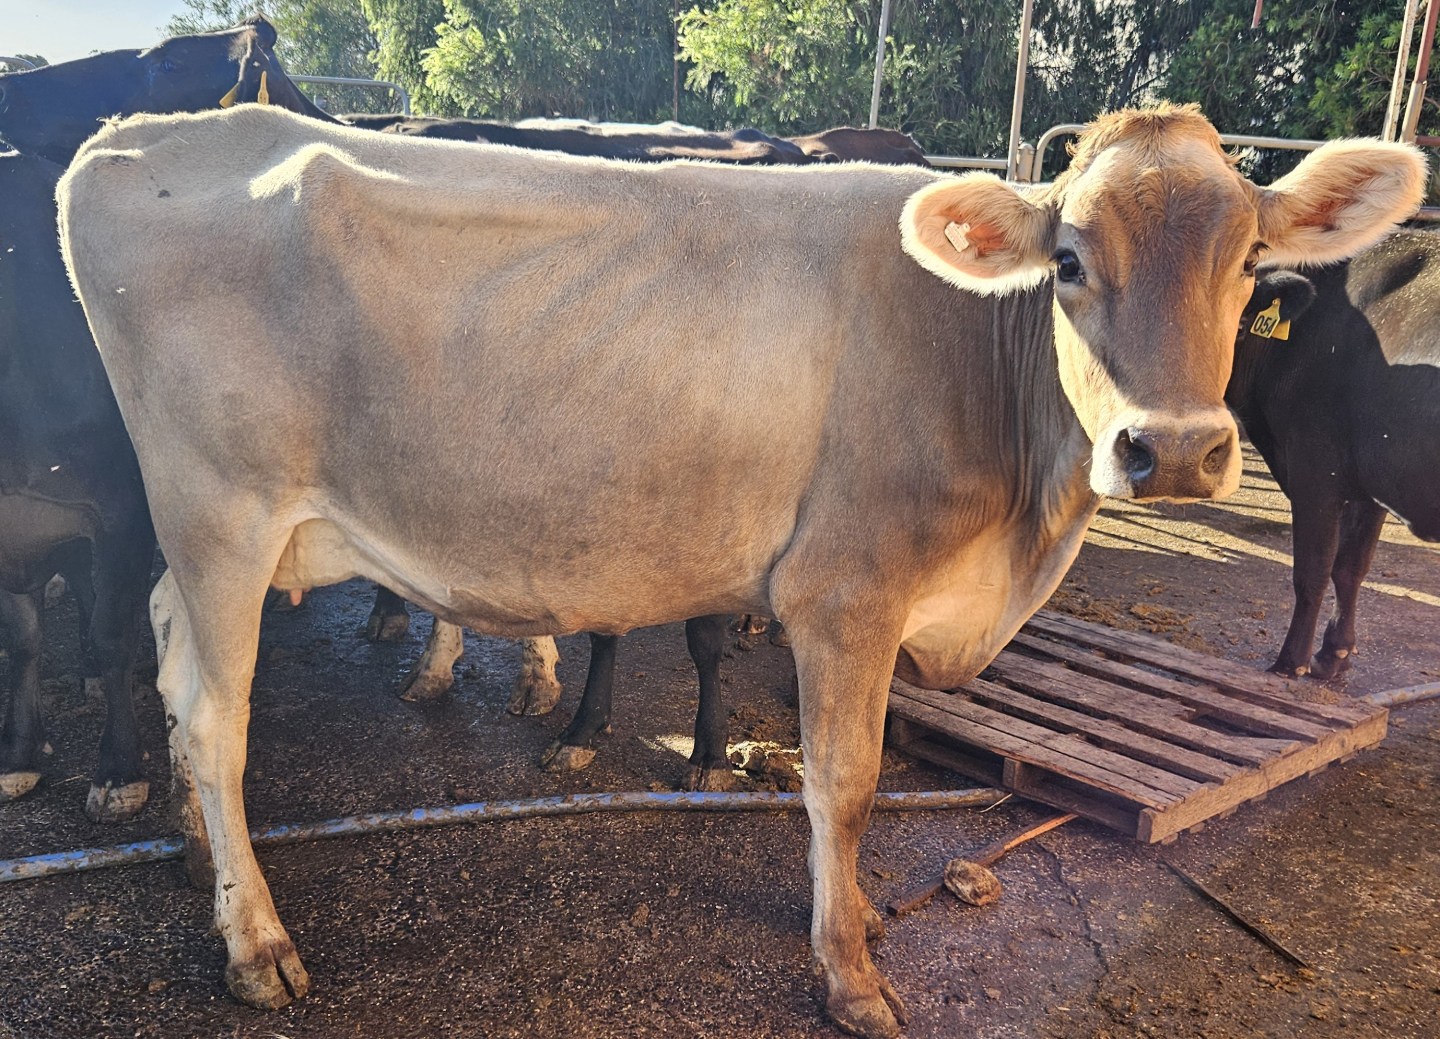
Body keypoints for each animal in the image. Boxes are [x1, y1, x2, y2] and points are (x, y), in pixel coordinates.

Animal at [1229, 229, 1440, 678]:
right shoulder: (1371, 482)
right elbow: (1350, 567)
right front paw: (1333, 654)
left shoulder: (1315, 470)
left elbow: (1312, 570)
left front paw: (1291, 663)